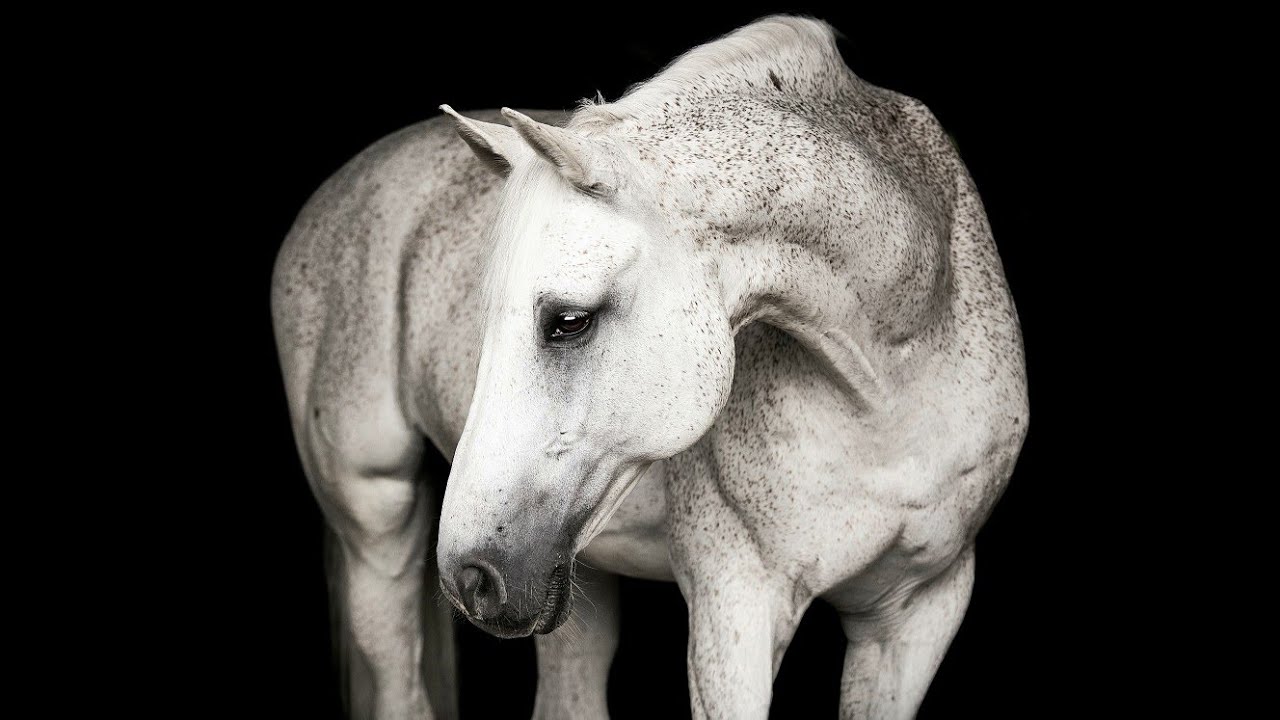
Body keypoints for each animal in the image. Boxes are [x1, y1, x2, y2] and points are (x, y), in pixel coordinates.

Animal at [271, 14, 1028, 719]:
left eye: (569, 320)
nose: (471, 576)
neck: (889, 388)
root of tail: (342, 186)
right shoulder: (736, 612)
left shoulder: (916, 613)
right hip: (377, 524)